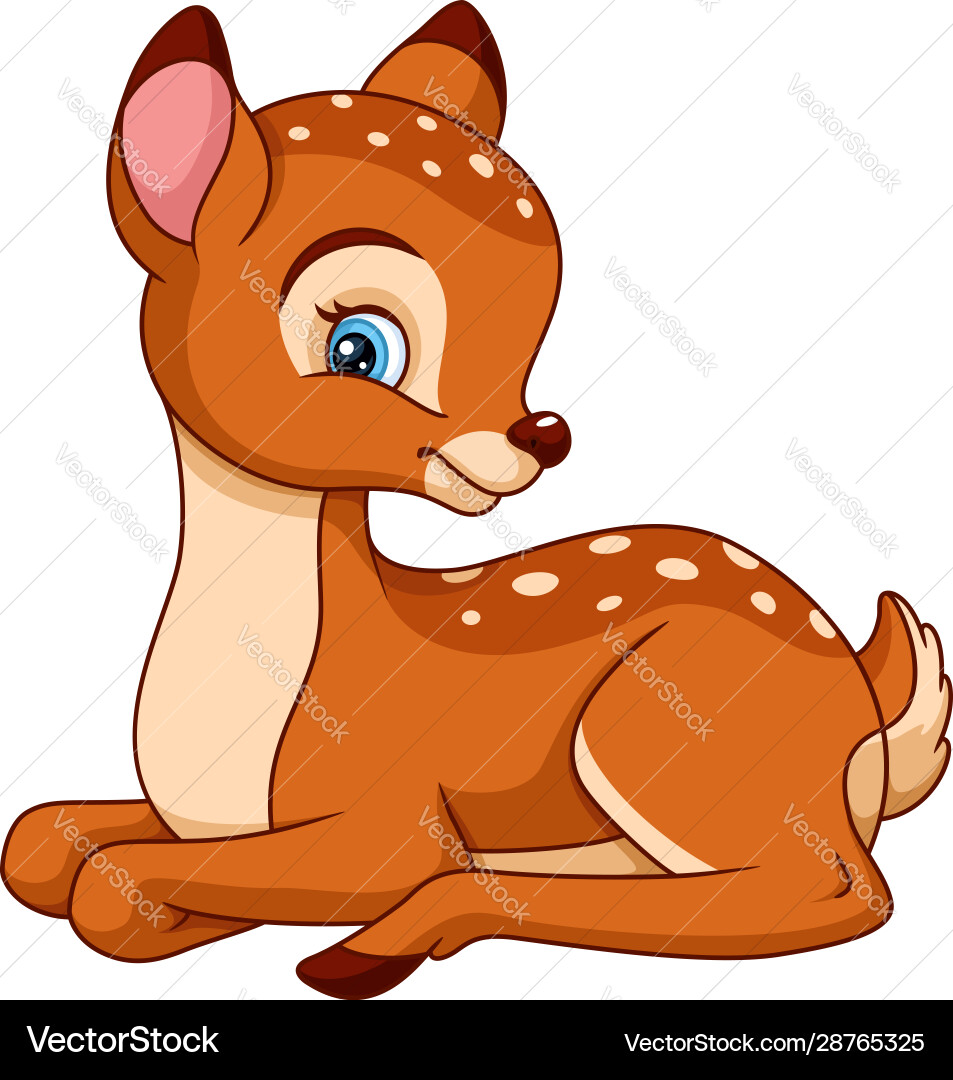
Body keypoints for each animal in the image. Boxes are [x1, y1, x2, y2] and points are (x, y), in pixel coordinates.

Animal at [3, 3, 949, 1001]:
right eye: (358, 348)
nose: (542, 434)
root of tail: (864, 712)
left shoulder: (388, 823)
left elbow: (111, 888)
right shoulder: (188, 816)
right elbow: (35, 841)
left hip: (668, 723)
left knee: (834, 890)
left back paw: (379, 944)